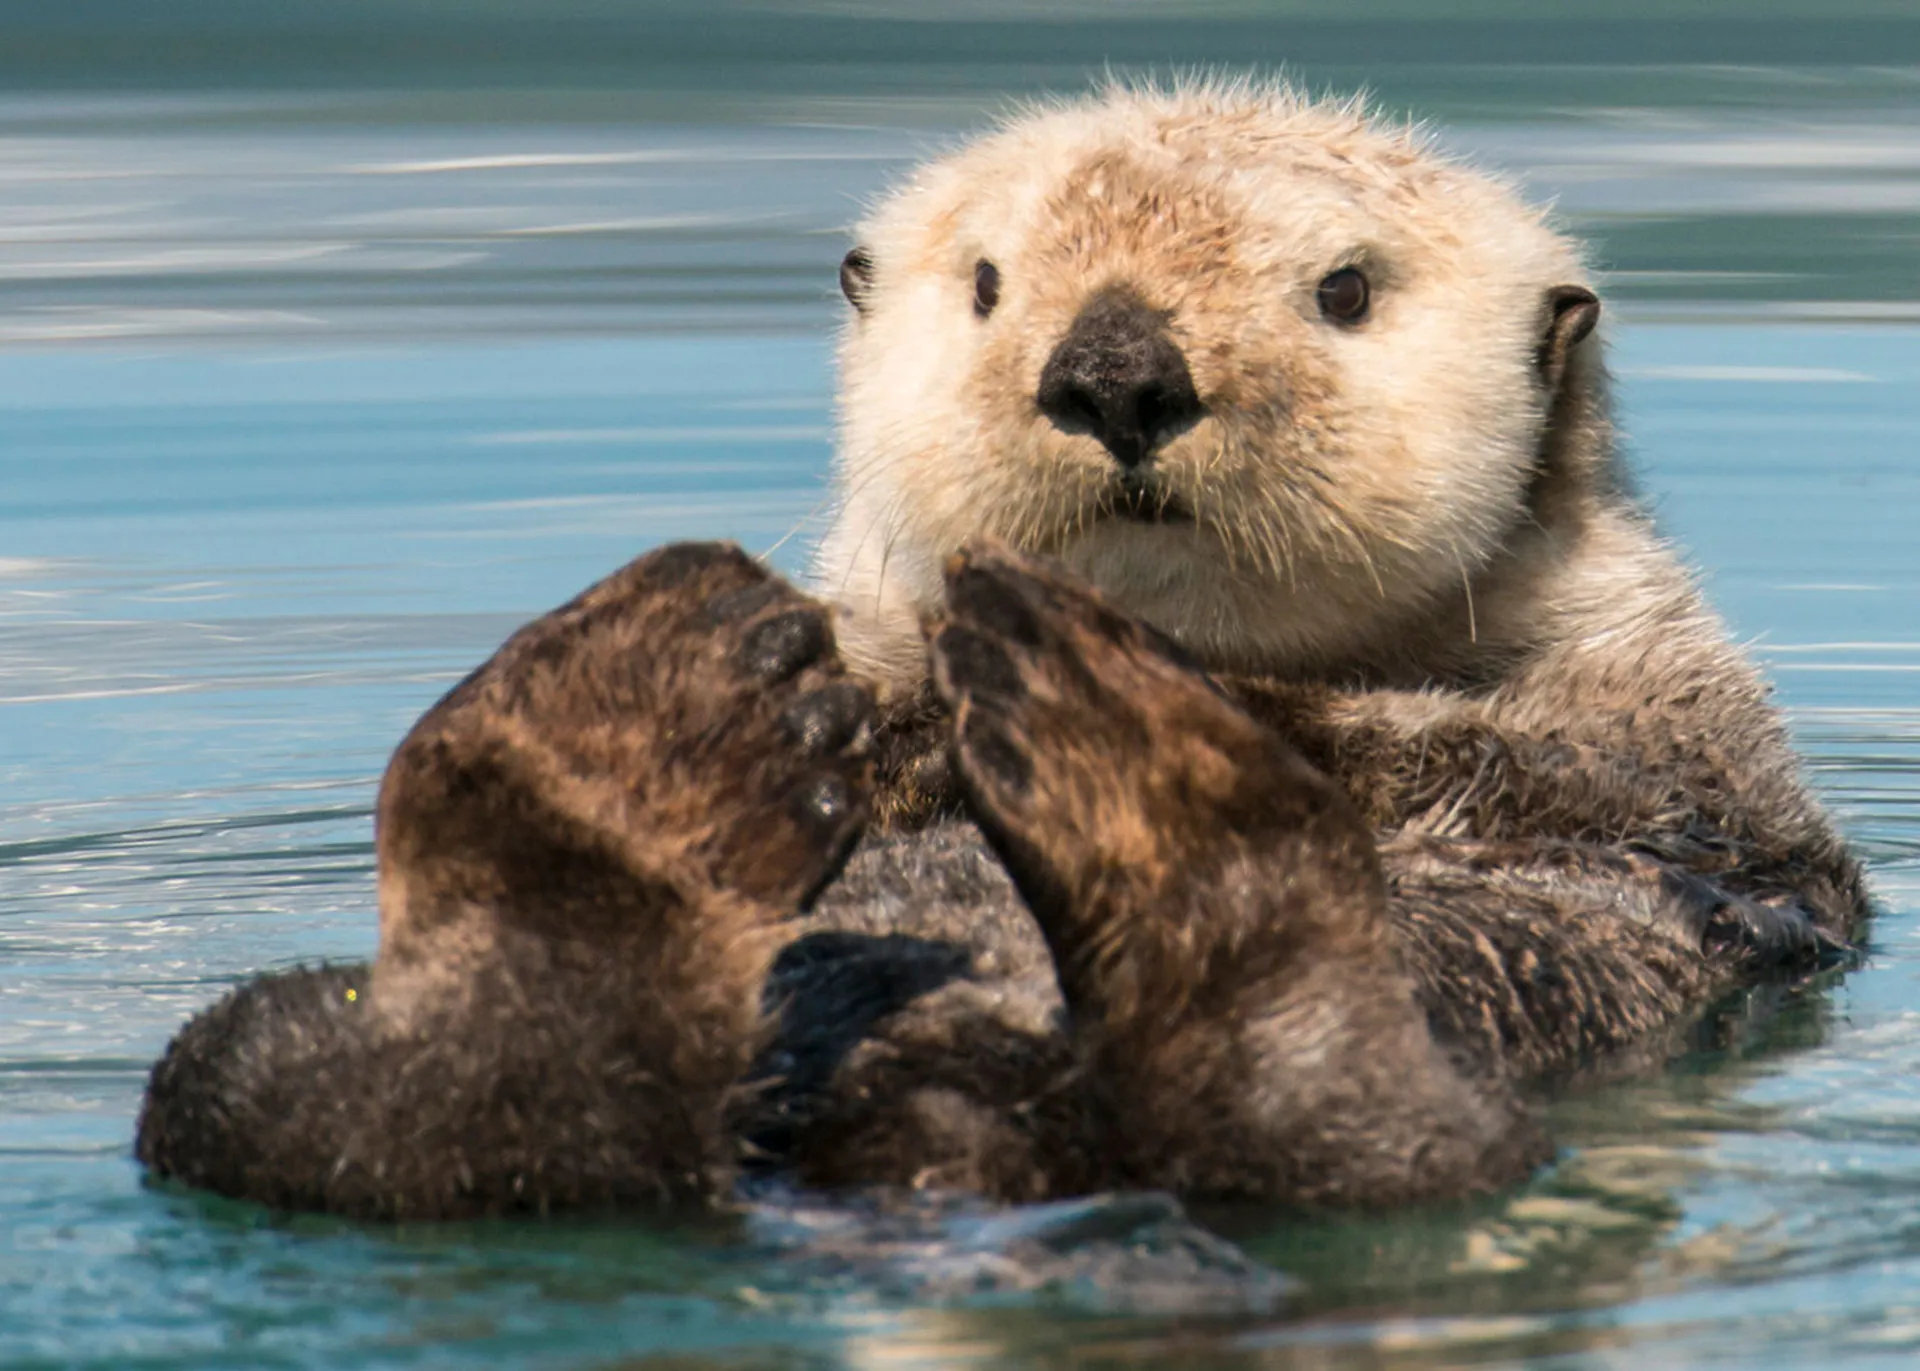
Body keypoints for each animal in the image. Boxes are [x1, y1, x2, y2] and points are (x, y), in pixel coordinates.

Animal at [137, 82, 1865, 1220]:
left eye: (1346, 288)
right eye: (985, 282)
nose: (1116, 366)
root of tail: (944, 1134)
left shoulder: (1681, 743)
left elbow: (1526, 773)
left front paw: (1196, 697)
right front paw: (845, 698)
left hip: (1435, 1125)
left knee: (1333, 1123)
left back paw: (1136, 766)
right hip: (259, 1066)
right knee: (400, 1122)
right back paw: (627, 746)